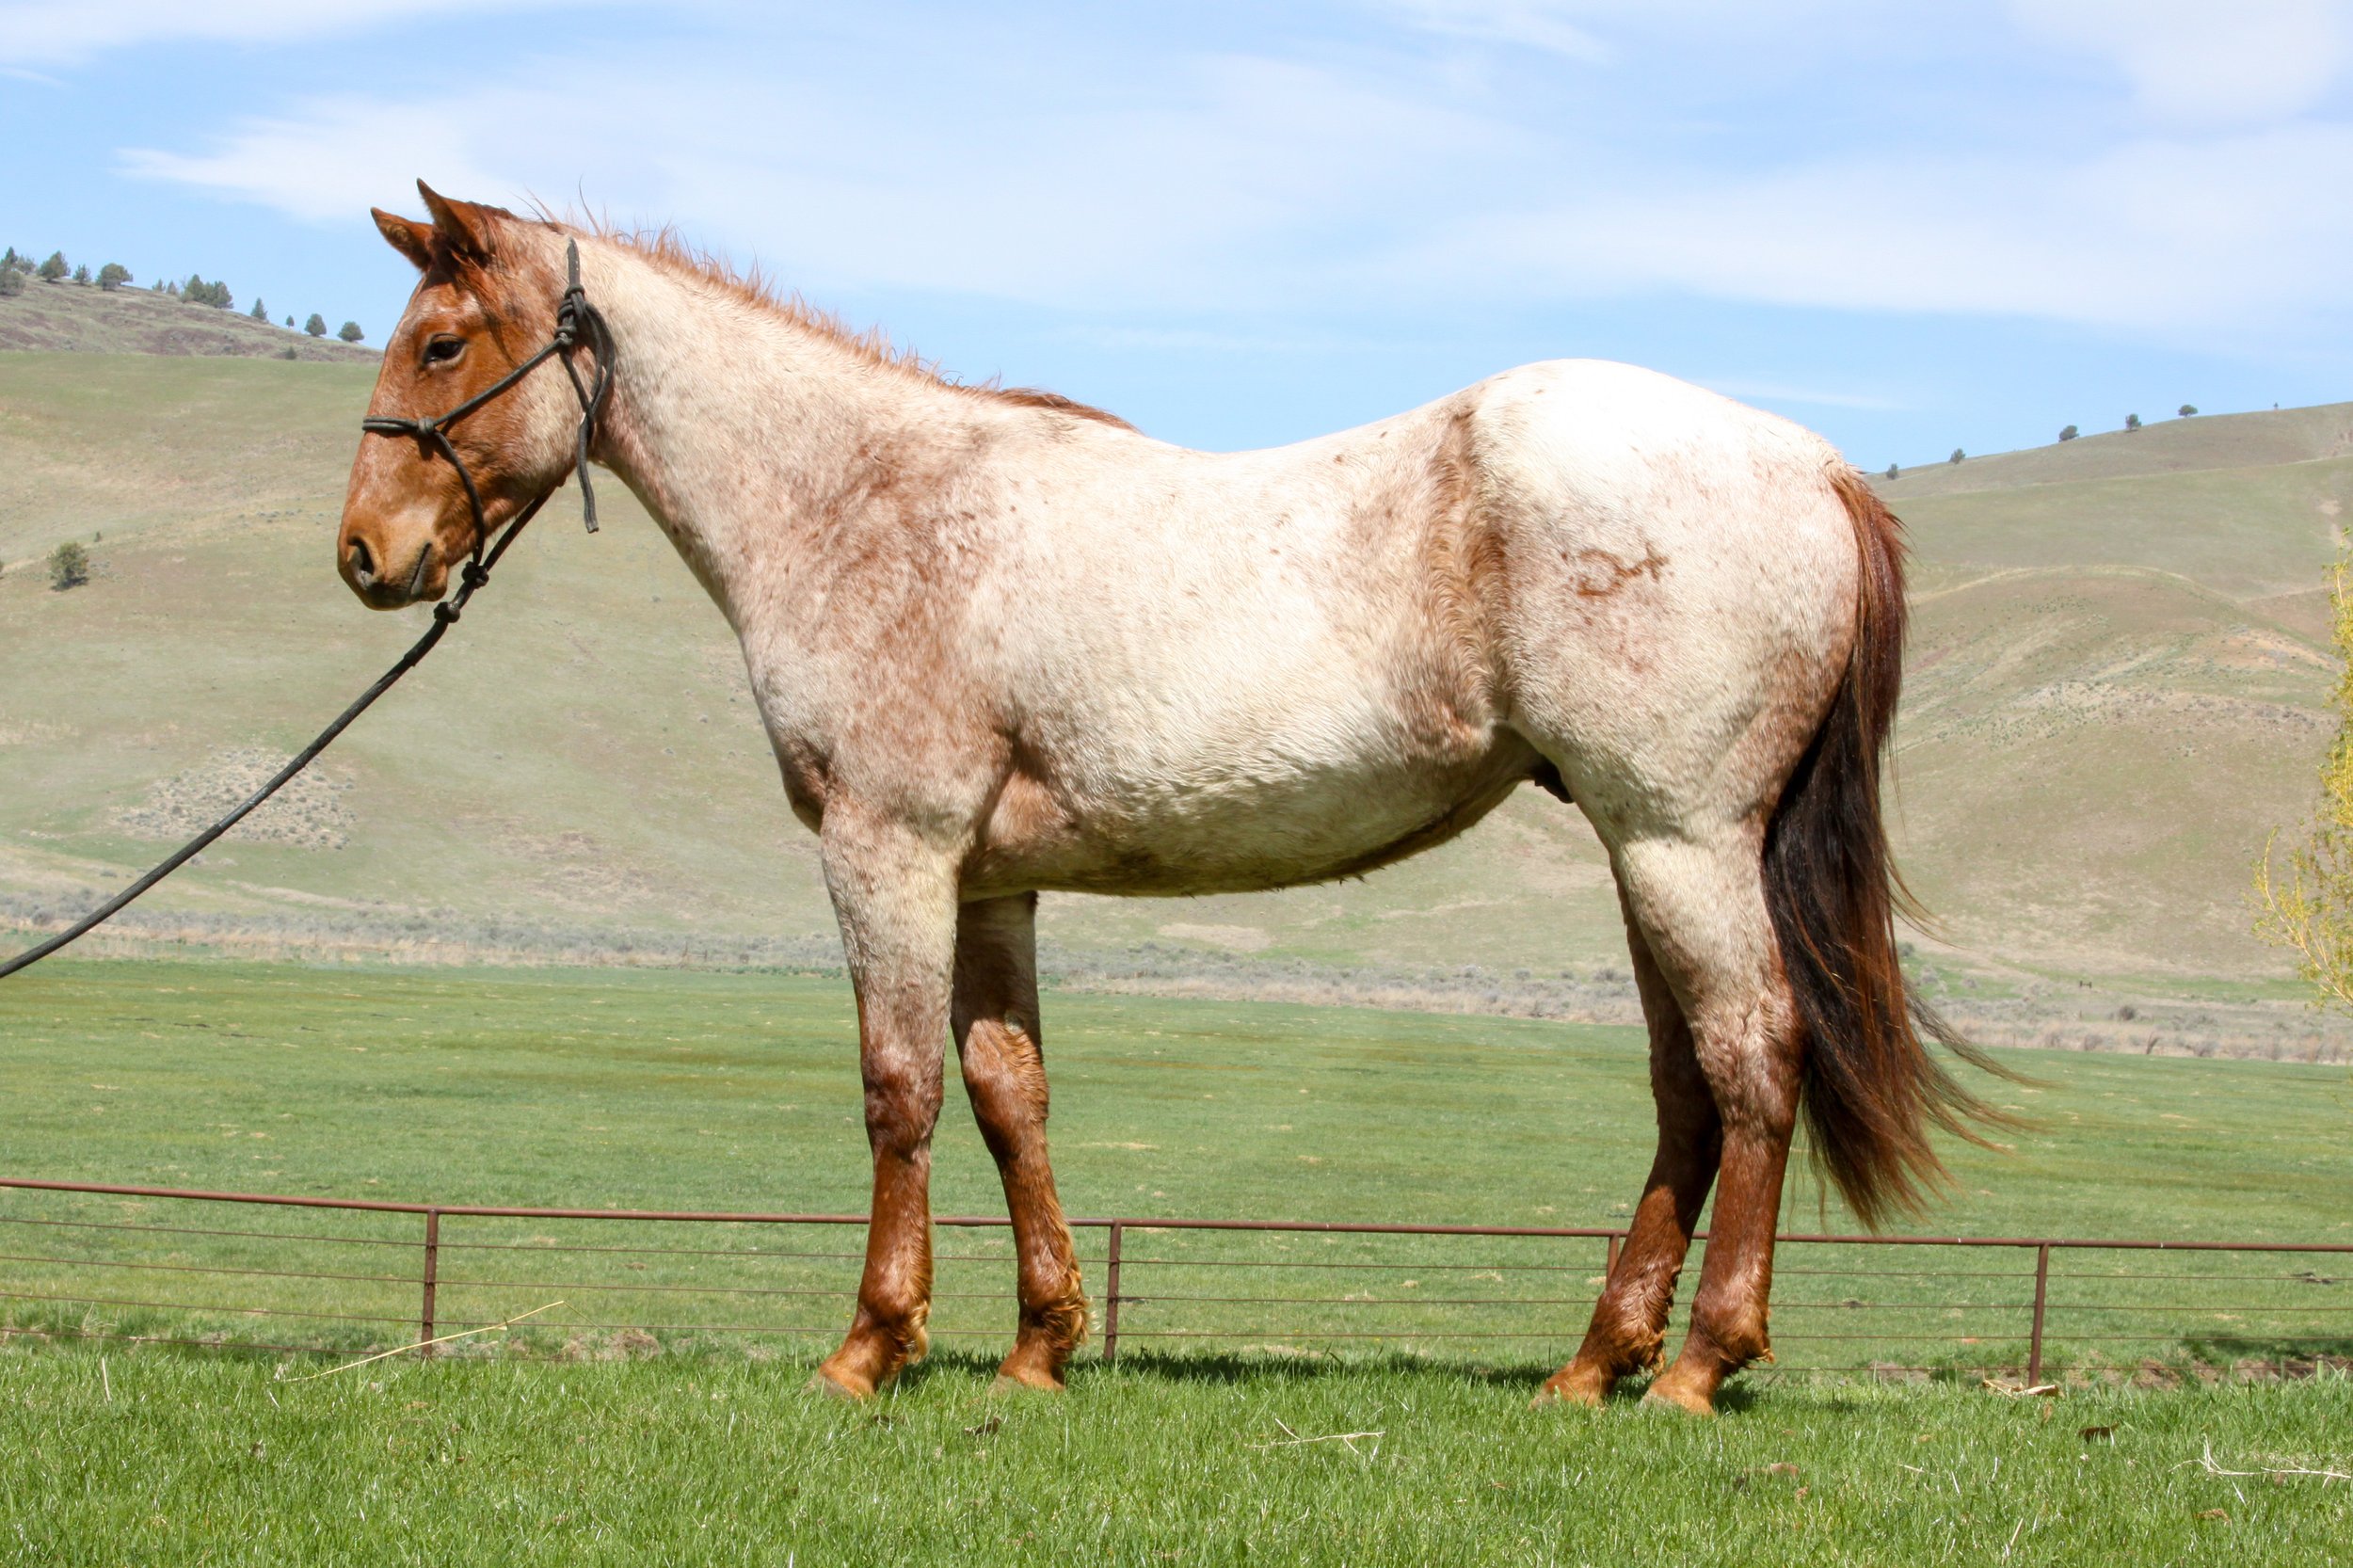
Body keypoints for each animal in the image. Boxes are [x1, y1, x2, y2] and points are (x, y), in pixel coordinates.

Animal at [337, 182, 1992, 1415]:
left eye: (441, 344)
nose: (364, 556)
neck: (861, 502)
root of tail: (1815, 463)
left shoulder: (889, 851)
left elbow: (898, 1091)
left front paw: (871, 1346)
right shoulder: (989, 880)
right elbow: (1008, 1092)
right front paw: (1038, 1348)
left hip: (1679, 840)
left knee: (1753, 1060)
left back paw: (1700, 1364)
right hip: (1648, 854)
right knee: (1686, 1091)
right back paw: (1594, 1365)